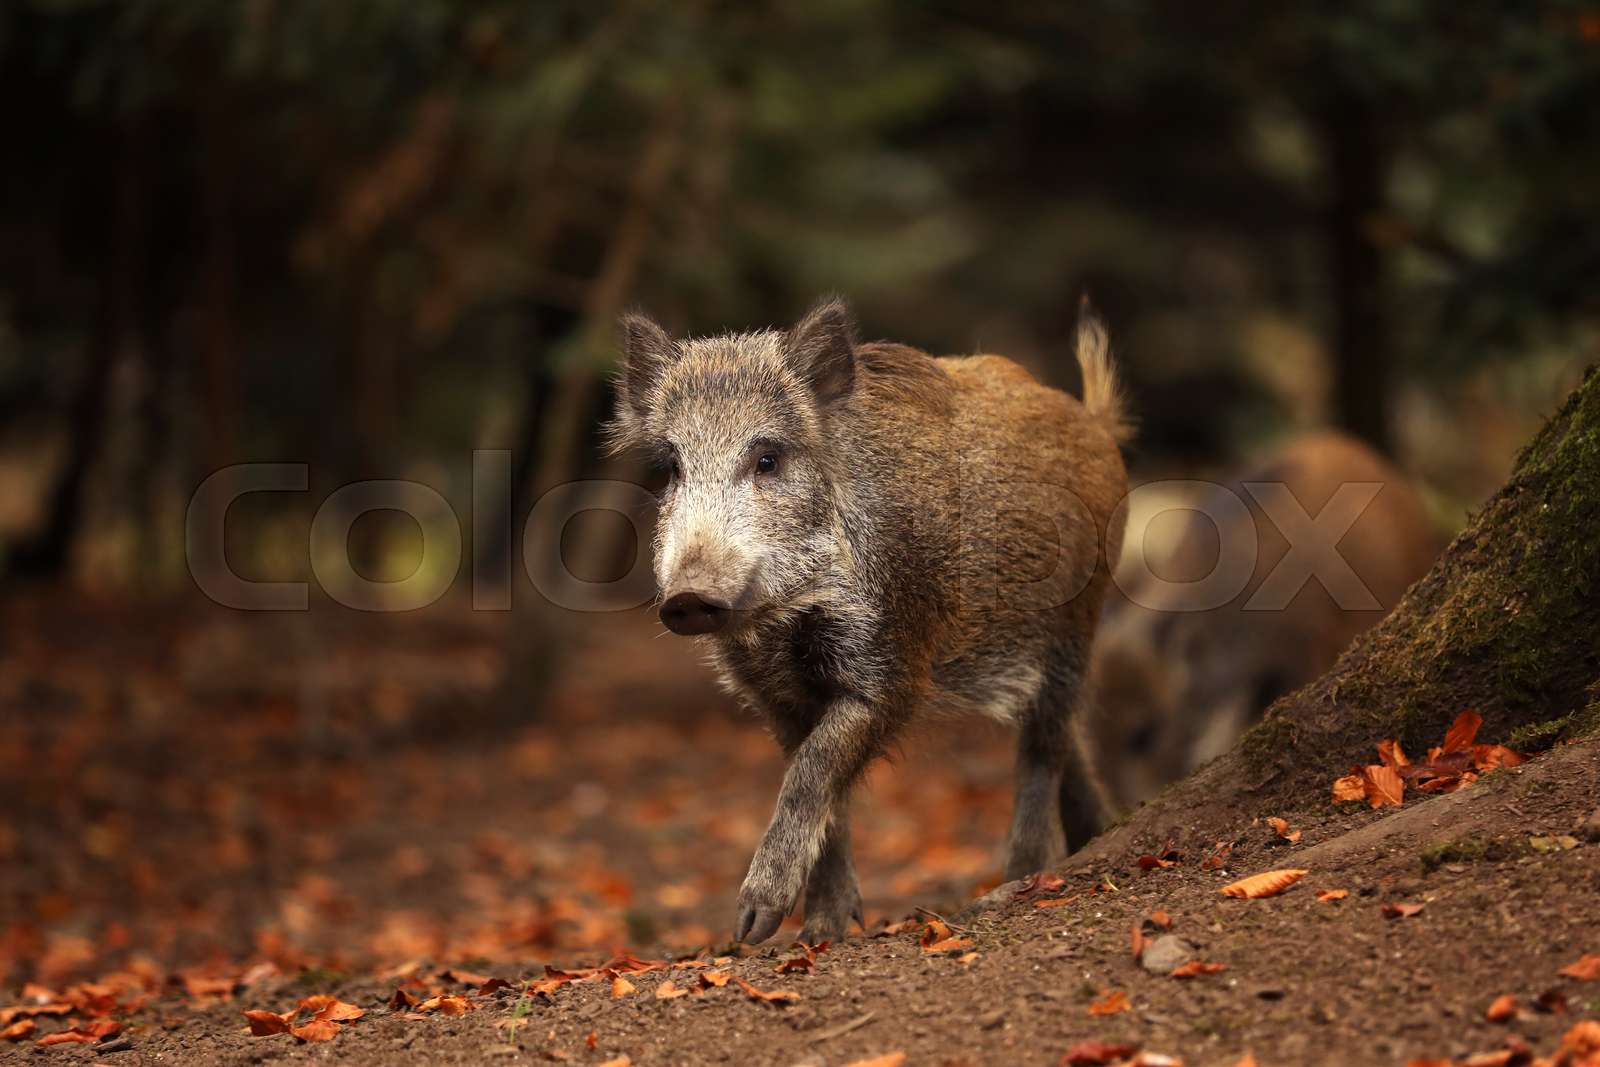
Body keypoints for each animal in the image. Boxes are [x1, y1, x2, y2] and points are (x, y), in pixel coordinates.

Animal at [607, 297, 1131, 944]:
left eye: (767, 458)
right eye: (671, 469)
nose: (685, 598)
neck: (788, 624)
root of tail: (1097, 425)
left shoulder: (892, 669)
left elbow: (811, 774)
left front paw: (753, 925)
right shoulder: (777, 699)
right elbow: (819, 787)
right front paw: (817, 935)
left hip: (1075, 625)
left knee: (1044, 745)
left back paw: (1014, 882)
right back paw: (1101, 829)